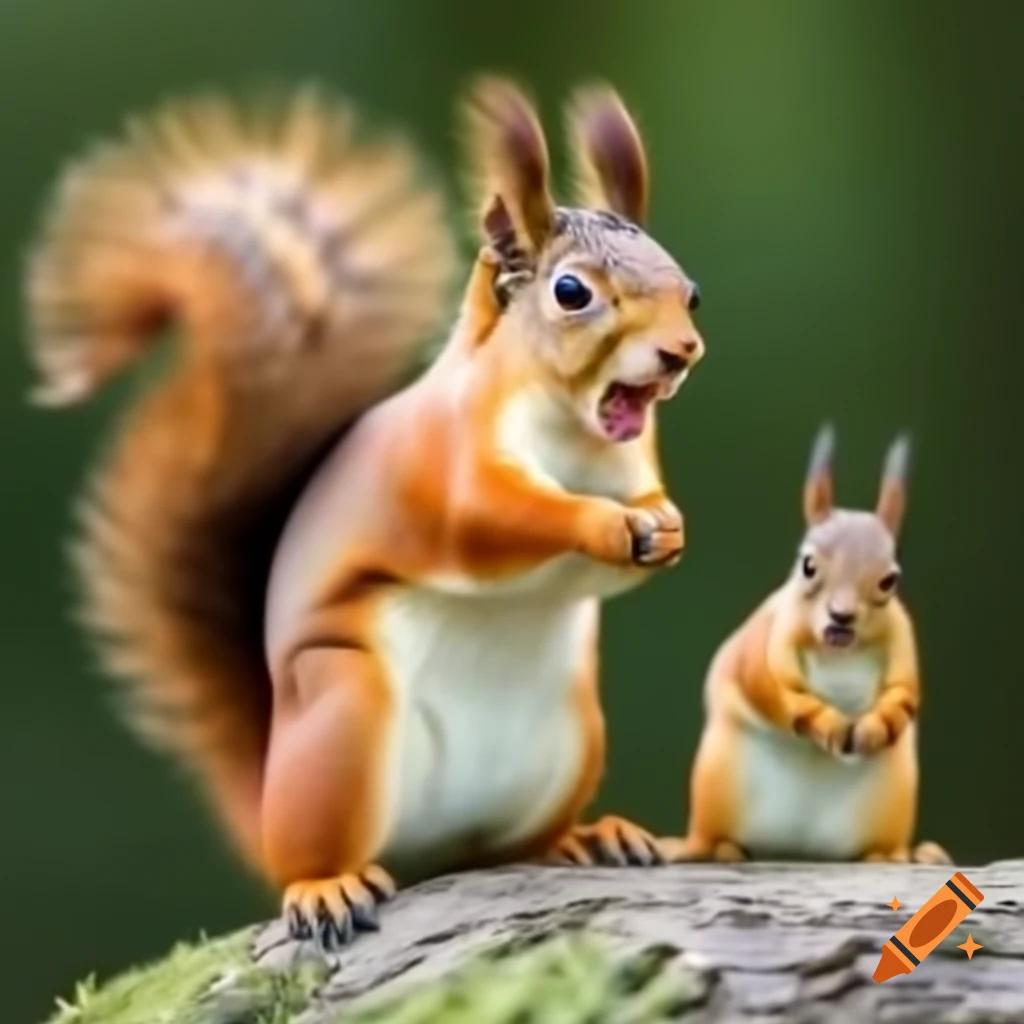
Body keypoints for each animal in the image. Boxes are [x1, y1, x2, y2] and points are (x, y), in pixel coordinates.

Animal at [23, 76, 706, 951]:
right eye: (571, 293)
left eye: (691, 293)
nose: (681, 352)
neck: (572, 428)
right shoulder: (438, 469)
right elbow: (486, 522)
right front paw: (600, 524)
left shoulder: (632, 457)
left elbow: (643, 509)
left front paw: (666, 524)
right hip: (343, 716)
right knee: (316, 853)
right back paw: (328, 885)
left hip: (572, 731)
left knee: (511, 844)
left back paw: (584, 838)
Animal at [663, 425, 950, 866]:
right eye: (808, 566)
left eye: (889, 580)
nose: (841, 616)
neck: (839, 651)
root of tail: (797, 848)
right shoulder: (768, 636)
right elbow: (770, 688)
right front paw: (825, 722)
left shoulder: (902, 637)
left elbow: (904, 693)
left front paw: (875, 728)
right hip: (719, 784)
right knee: (712, 840)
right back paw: (714, 849)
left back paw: (902, 856)